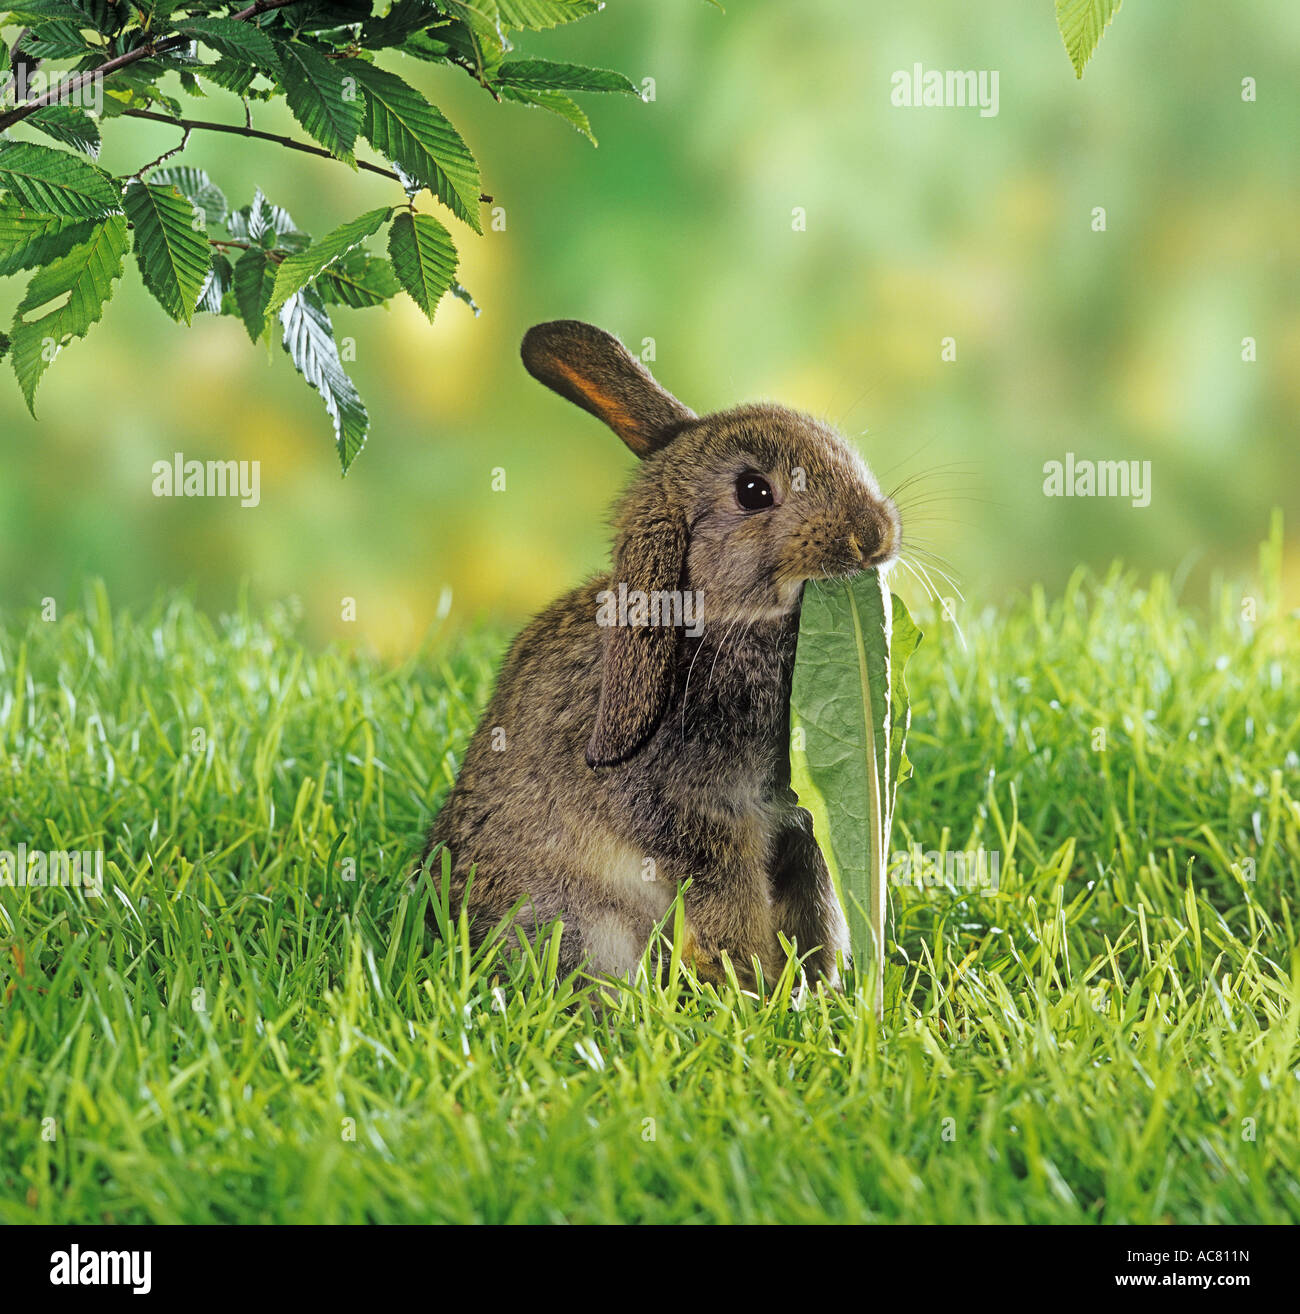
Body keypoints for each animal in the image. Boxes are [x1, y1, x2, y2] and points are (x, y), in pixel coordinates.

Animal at [423, 321, 900, 990]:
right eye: (753, 491)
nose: (874, 535)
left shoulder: (799, 828)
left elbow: (816, 903)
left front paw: (816, 983)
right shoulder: (698, 821)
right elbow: (733, 903)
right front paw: (756, 984)